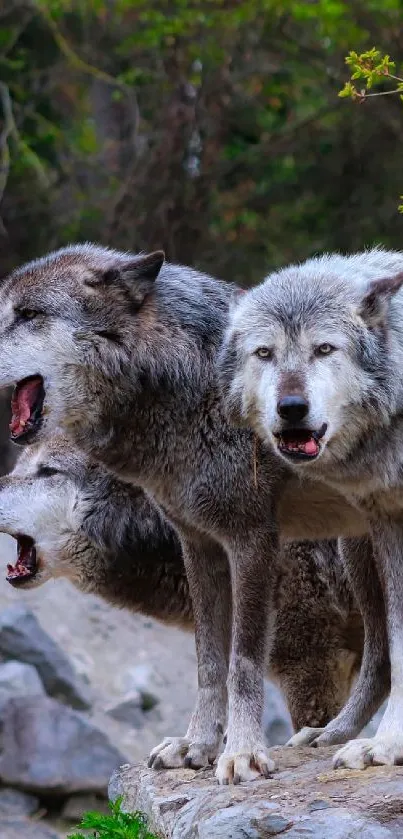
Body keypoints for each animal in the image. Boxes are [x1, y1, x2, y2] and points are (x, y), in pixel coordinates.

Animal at [218, 247, 403, 770]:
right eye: (265, 353)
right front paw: (390, 744)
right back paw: (333, 733)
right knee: (380, 656)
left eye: (324, 349)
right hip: (357, 550)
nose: (292, 407)